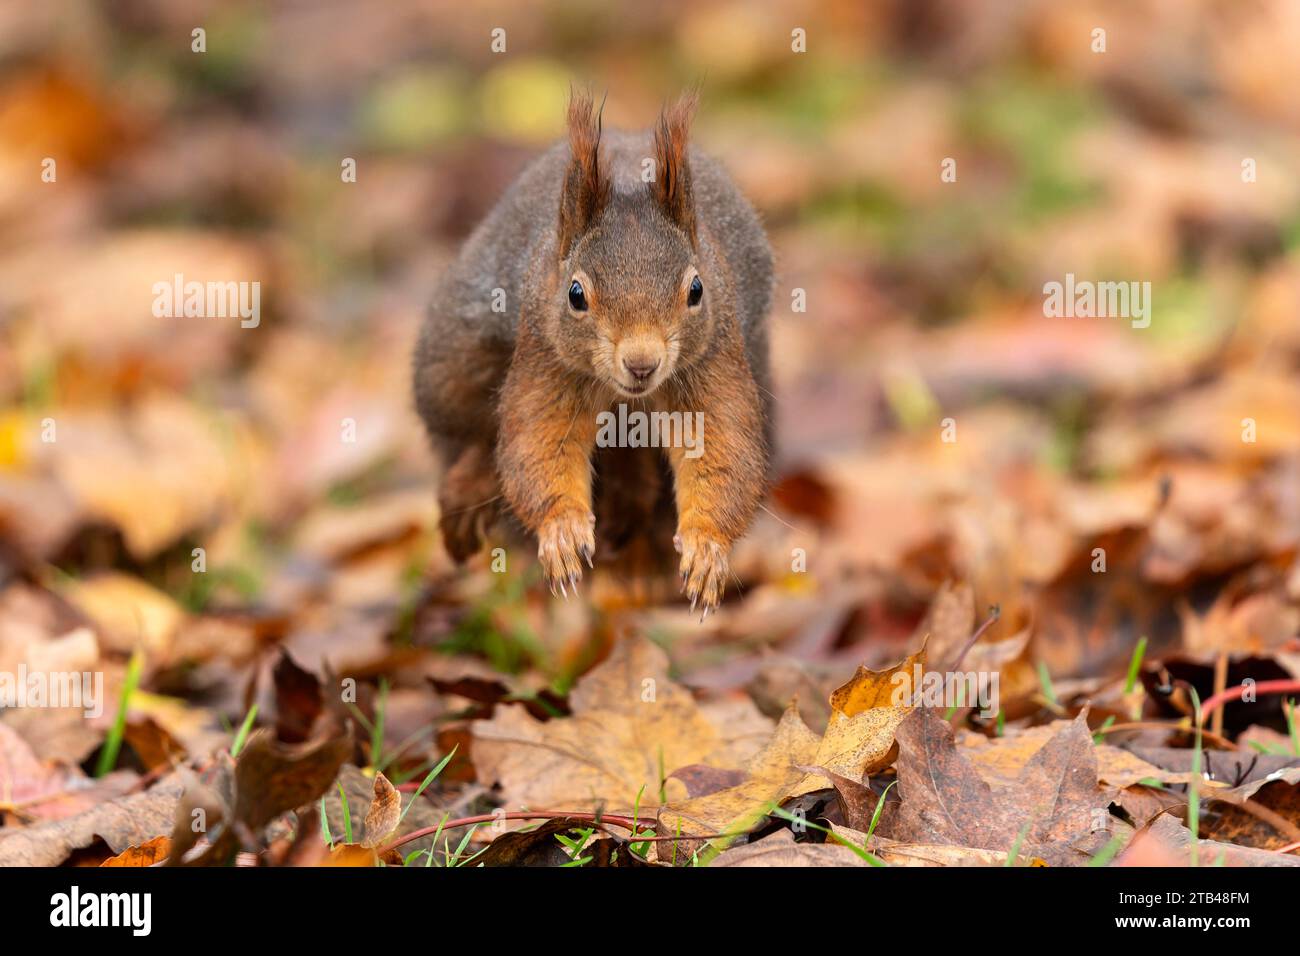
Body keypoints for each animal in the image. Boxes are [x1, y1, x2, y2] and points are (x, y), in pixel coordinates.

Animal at [413, 90, 773, 615]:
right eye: (576, 294)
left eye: (697, 290)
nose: (642, 363)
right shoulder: (546, 354)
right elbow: (539, 442)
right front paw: (562, 531)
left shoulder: (713, 355)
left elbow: (721, 448)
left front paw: (707, 550)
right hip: (455, 361)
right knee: (476, 433)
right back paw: (468, 488)